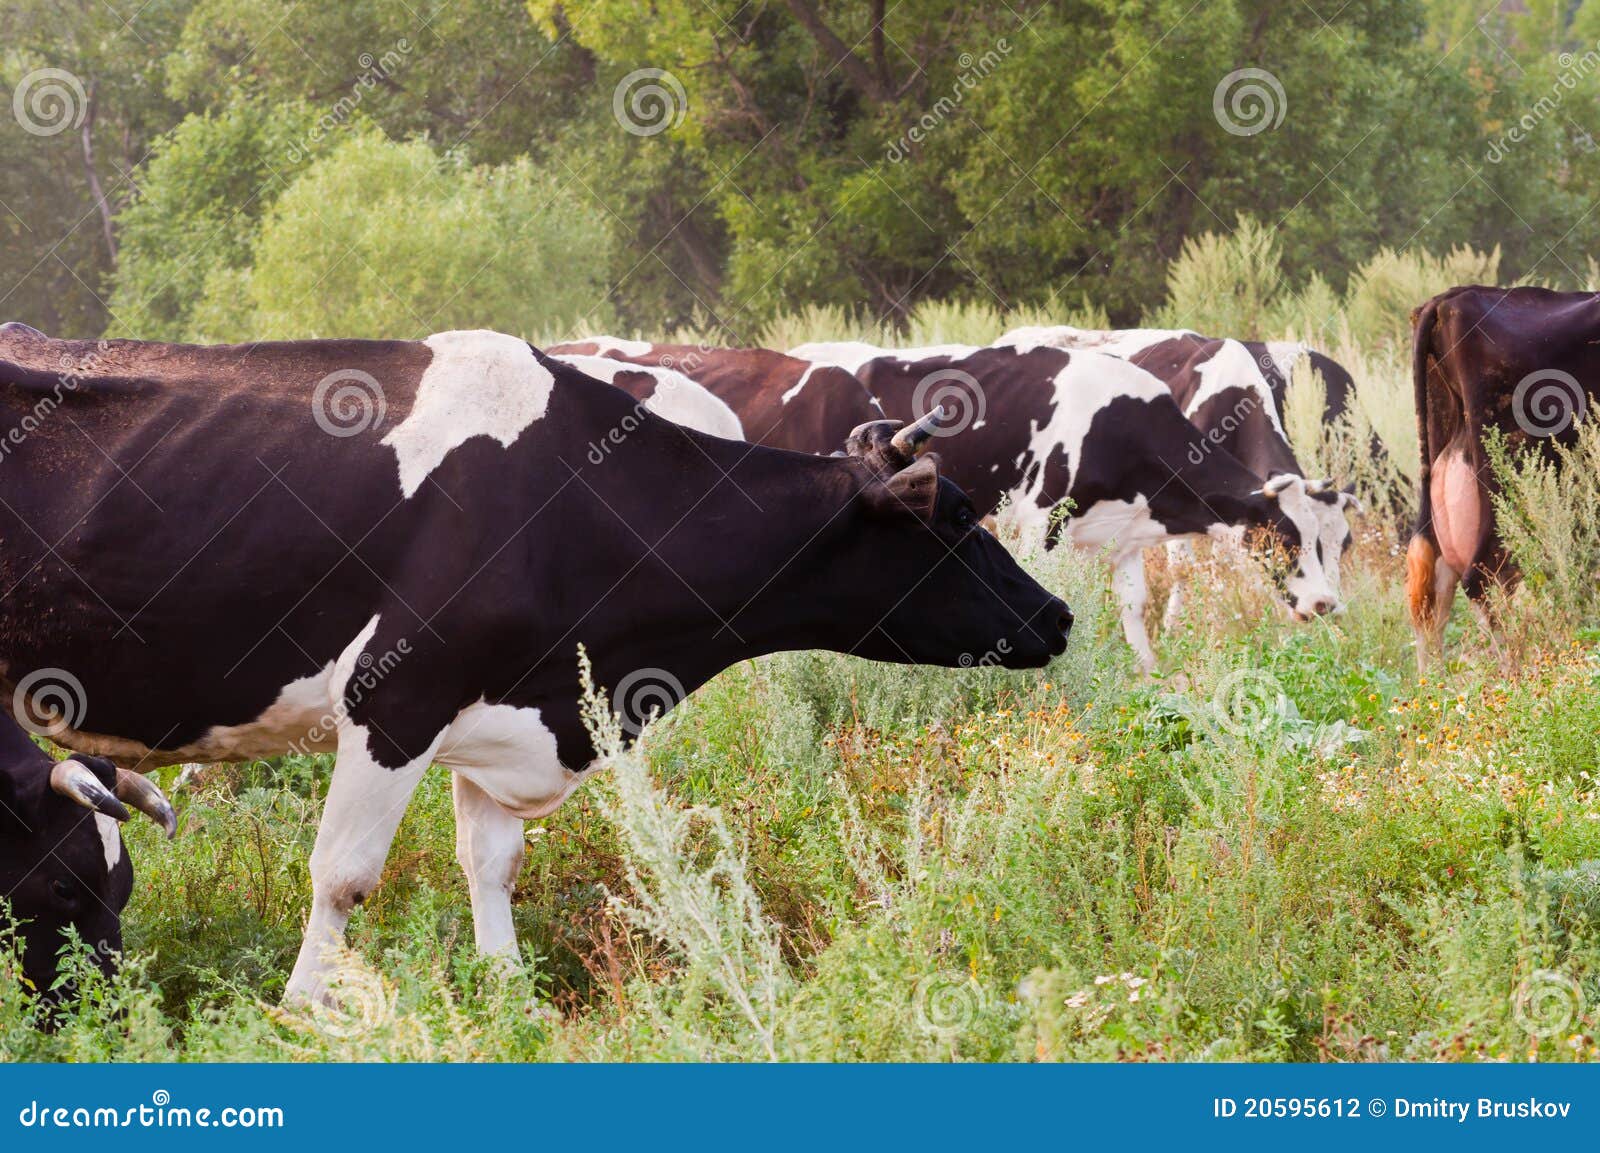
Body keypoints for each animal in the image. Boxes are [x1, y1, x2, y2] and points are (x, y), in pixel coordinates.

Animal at [0, 325, 1070, 1003]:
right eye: (958, 515)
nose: (1057, 616)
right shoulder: (396, 700)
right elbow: (343, 876)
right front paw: (302, 1010)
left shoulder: (500, 711)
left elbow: (493, 862)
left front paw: (507, 989)